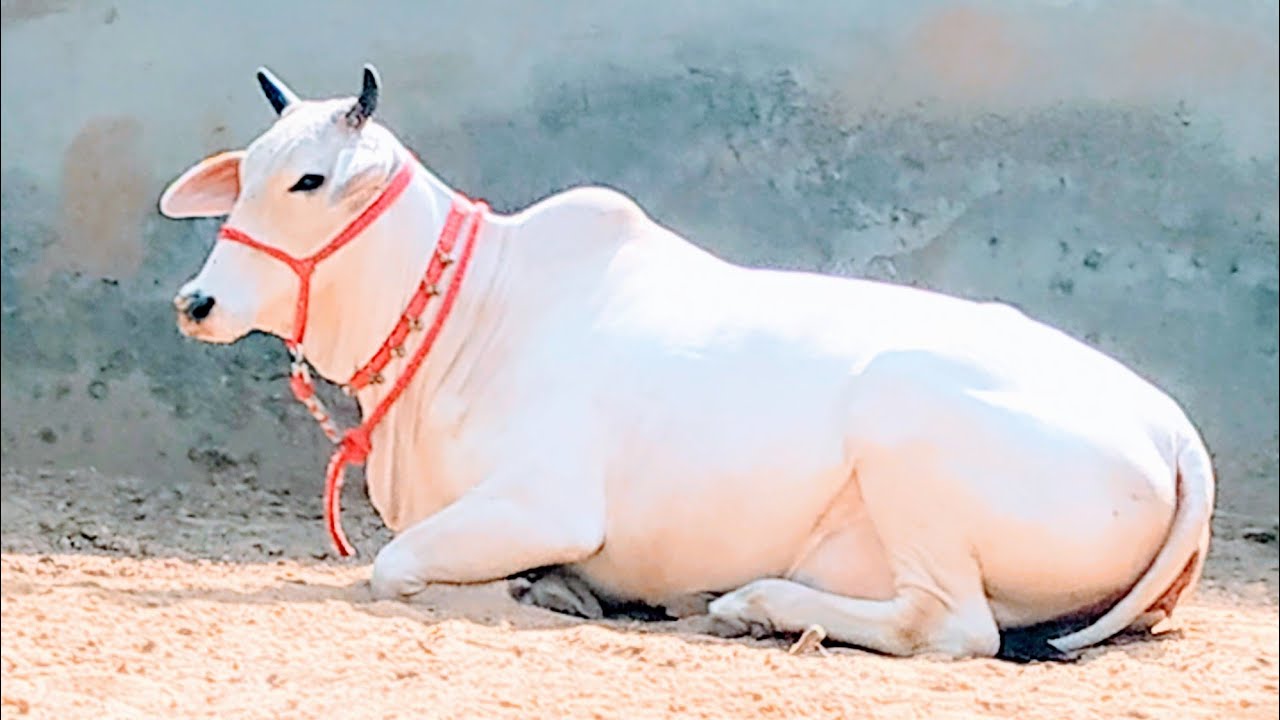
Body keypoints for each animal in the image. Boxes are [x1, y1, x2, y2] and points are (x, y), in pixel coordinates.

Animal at [159, 64, 1214, 659]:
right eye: (247, 174)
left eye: (309, 180)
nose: (197, 303)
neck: (479, 313)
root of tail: (1174, 435)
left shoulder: (545, 503)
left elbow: (395, 568)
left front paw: (531, 588)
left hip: (904, 411)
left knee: (952, 627)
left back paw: (753, 605)